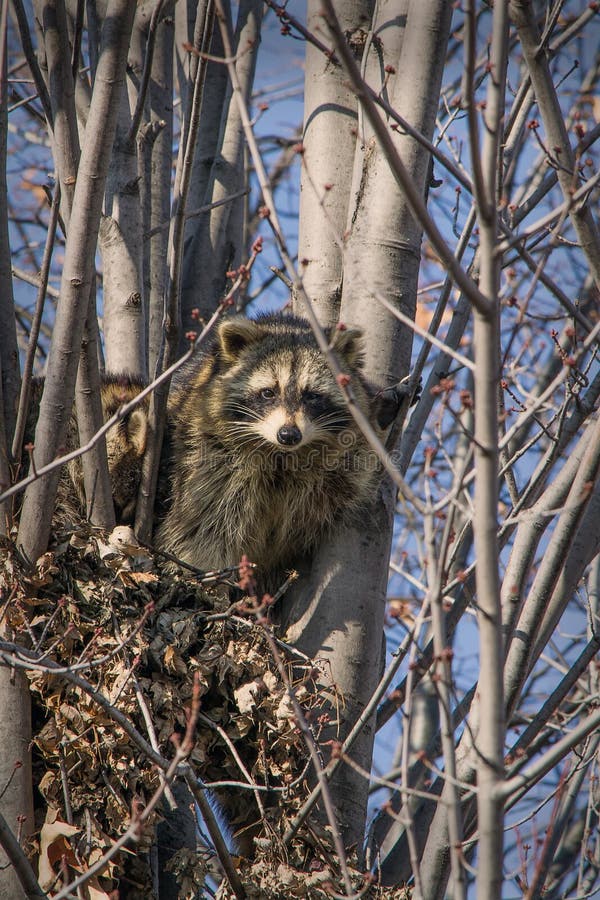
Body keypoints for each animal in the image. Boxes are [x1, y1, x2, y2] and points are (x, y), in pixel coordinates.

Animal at [154, 313, 396, 590]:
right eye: (268, 392)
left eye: (312, 396)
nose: (288, 435)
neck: (280, 453)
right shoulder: (203, 456)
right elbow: (202, 528)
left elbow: (350, 472)